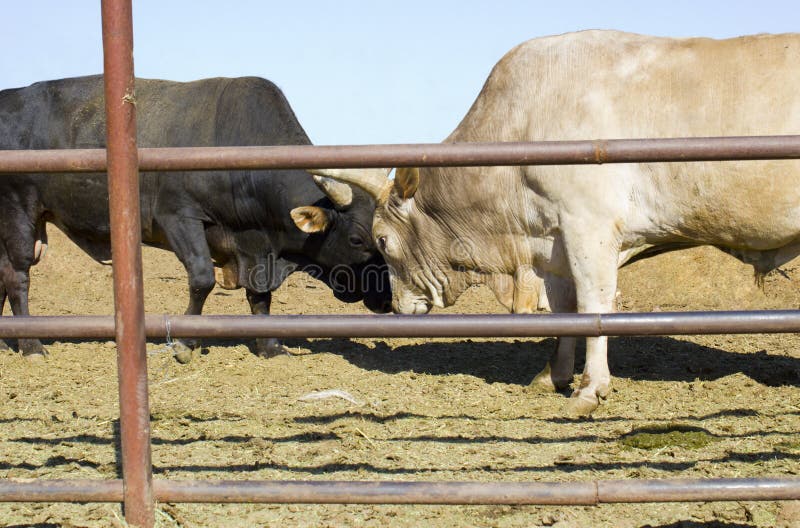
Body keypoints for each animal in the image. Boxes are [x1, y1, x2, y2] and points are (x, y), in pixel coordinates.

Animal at [0, 75, 391, 361]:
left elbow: (259, 296)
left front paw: (269, 346)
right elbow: (202, 279)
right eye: (357, 239)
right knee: (17, 275)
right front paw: (185, 344)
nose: (386, 299)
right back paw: (31, 346)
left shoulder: (254, 247)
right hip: (19, 209)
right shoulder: (180, 218)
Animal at [318, 30, 800, 415]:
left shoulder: (589, 225)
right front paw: (553, 375)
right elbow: (566, 309)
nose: (395, 306)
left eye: (382, 239)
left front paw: (590, 389)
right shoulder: (555, 240)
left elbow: (593, 305)